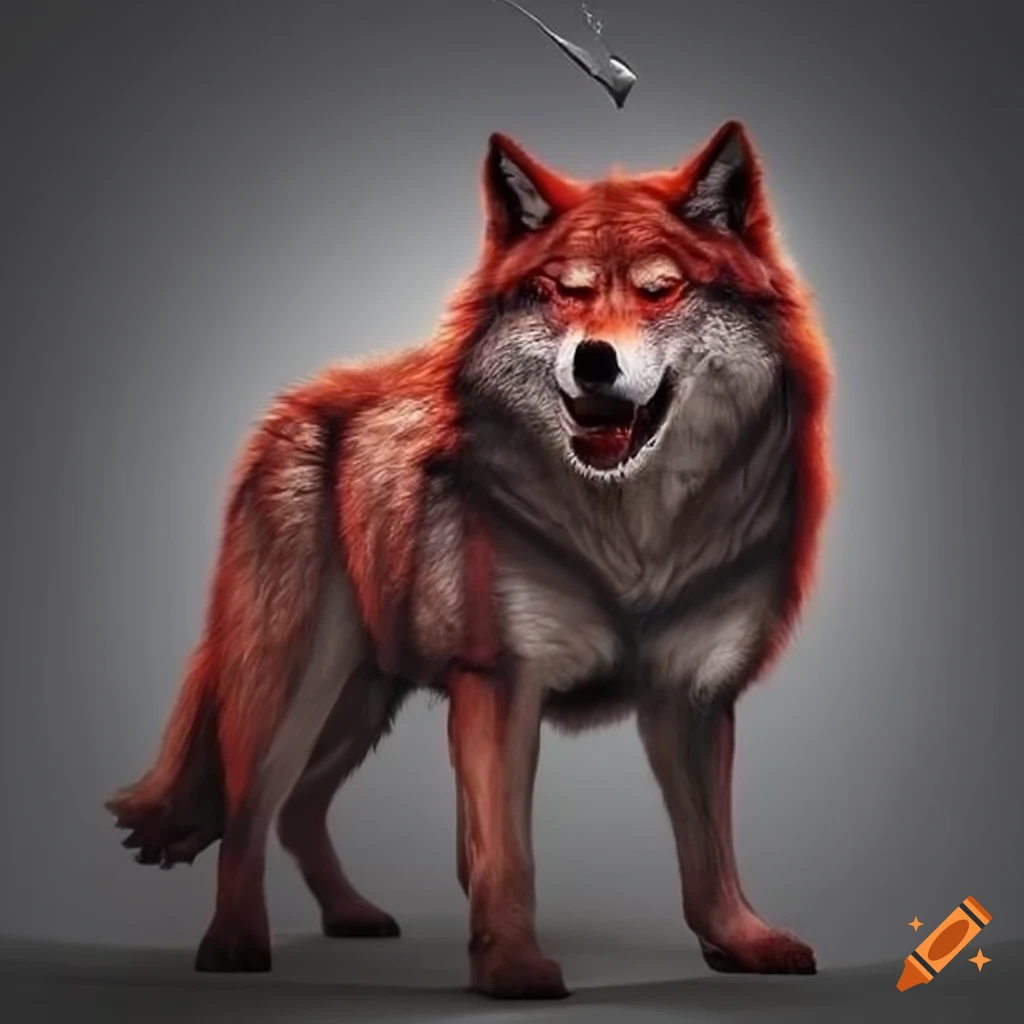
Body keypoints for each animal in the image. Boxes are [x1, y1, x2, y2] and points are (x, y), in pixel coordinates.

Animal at [106, 120, 832, 999]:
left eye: (660, 290)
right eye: (564, 292)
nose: (594, 360)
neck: (633, 533)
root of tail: (297, 404)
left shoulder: (691, 695)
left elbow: (710, 857)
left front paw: (742, 943)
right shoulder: (498, 683)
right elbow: (504, 854)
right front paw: (513, 967)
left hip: (364, 699)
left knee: (298, 808)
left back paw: (351, 915)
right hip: (293, 689)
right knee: (249, 813)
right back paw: (234, 945)